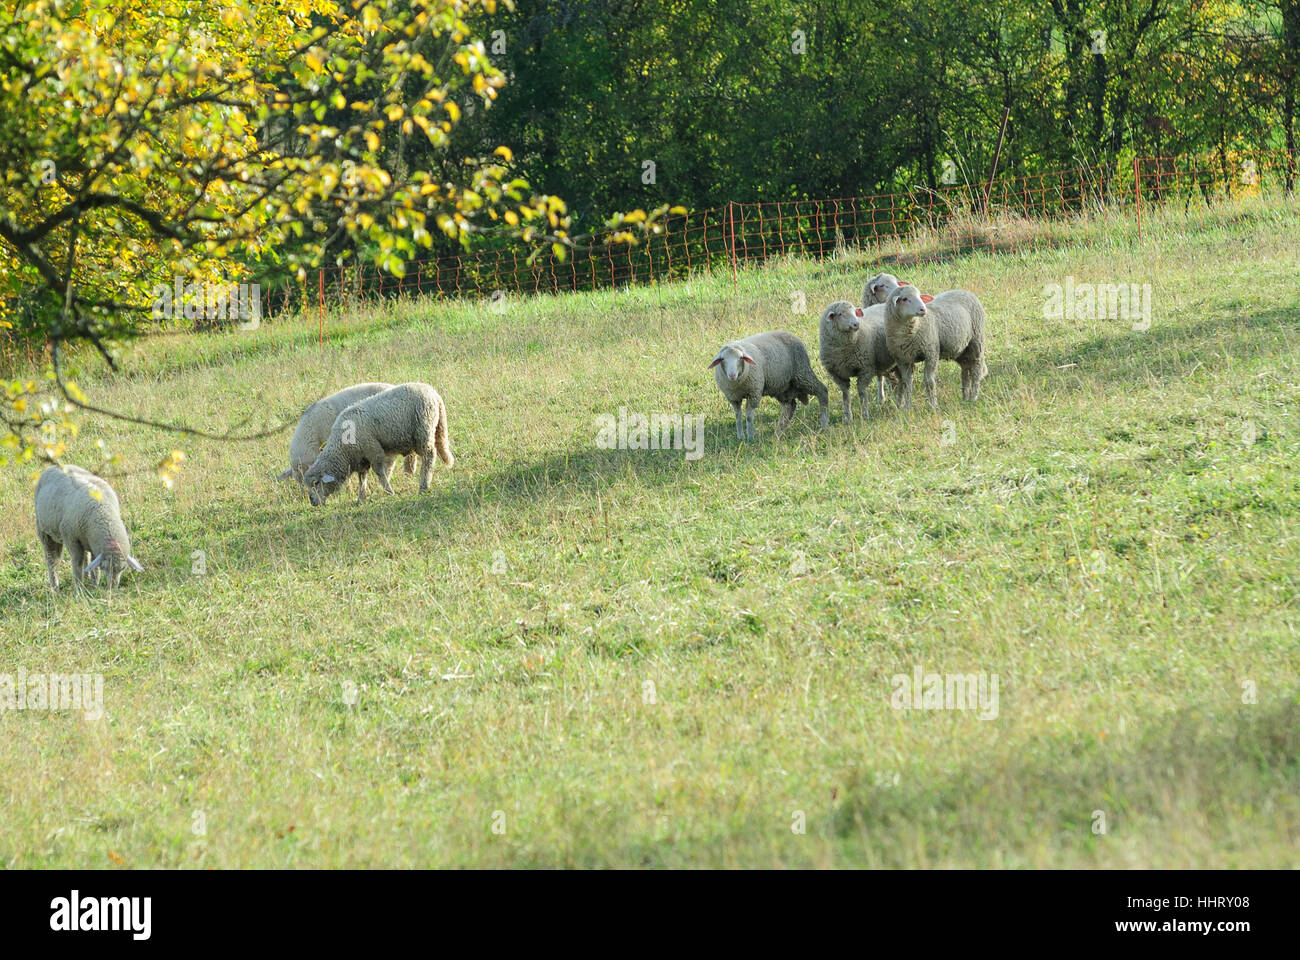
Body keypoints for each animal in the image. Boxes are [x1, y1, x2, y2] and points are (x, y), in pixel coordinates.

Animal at [302, 382, 454, 506]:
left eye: (316, 483)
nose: (313, 502)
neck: (343, 449)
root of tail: (433, 393)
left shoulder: (373, 450)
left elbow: (380, 473)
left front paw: (389, 491)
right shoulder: (361, 458)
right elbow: (362, 477)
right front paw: (360, 498)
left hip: (423, 430)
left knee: (429, 456)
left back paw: (423, 486)